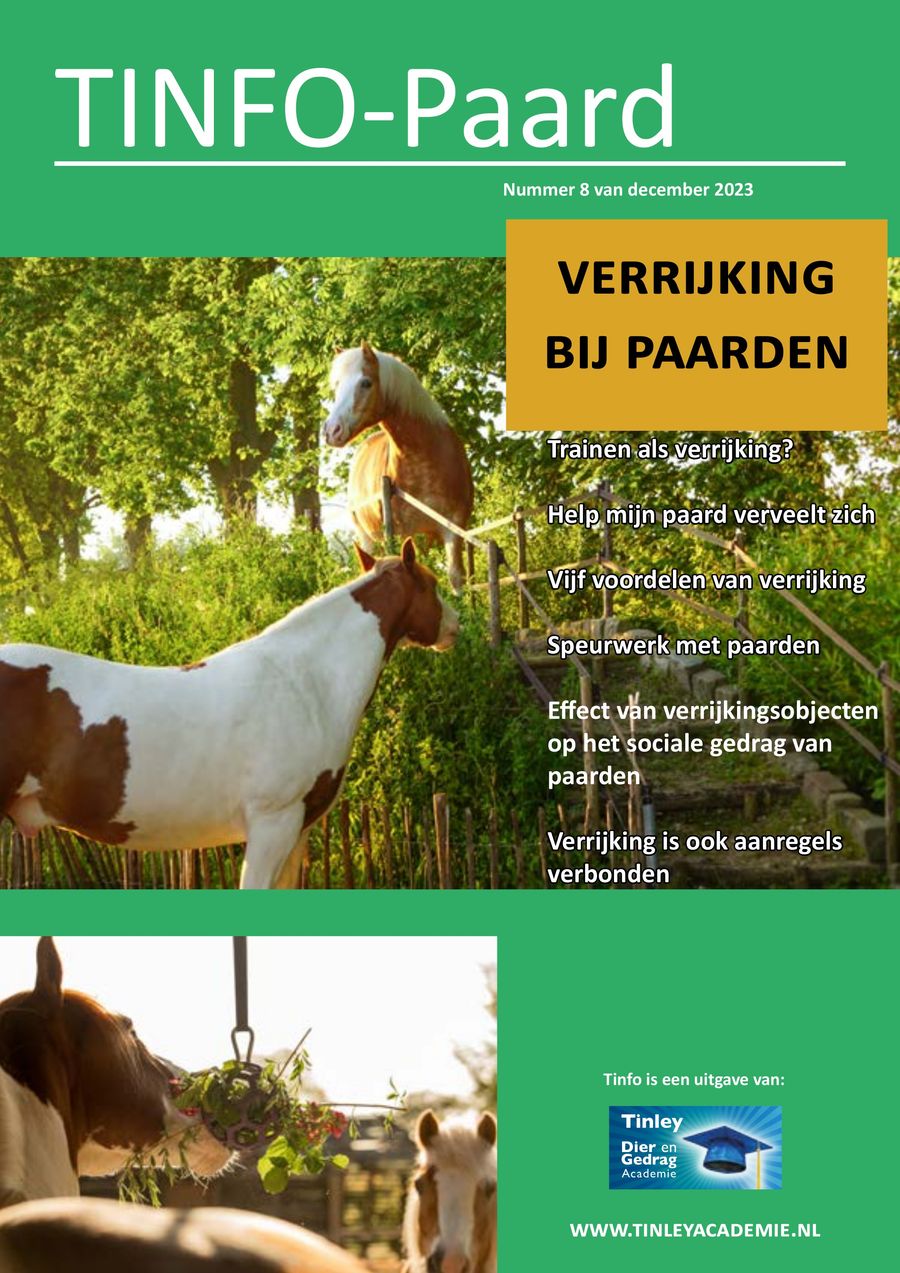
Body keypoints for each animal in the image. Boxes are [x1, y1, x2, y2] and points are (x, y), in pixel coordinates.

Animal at [324, 342, 475, 592]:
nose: (331, 430)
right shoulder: (402, 532)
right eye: (336, 386)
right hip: (365, 536)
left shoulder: (453, 528)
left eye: (366, 382)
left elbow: (456, 578)